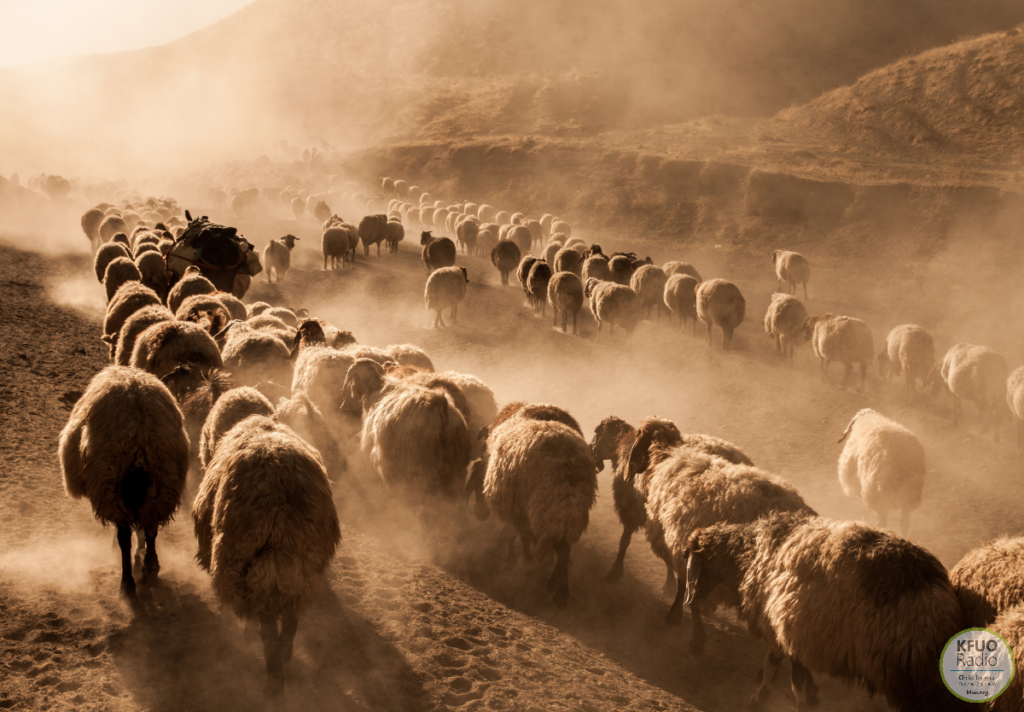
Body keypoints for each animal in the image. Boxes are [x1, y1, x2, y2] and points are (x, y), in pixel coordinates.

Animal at [58, 366, 189, 597]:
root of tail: (140, 439)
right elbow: (143, 531)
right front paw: (142, 555)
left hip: (111, 484)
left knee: (124, 537)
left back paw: (127, 583)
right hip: (160, 486)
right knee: (151, 529)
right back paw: (150, 567)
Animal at [193, 415, 340, 696]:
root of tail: (278, 508)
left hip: (242, 561)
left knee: (268, 626)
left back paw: (273, 681)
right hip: (301, 570)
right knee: (291, 619)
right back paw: (285, 655)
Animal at [479, 410, 597, 606]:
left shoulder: (517, 509)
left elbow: (516, 536)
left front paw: (518, 560)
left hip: (542, 509)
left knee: (551, 549)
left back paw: (537, 580)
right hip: (570, 514)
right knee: (563, 549)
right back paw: (559, 591)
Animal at [683, 514, 963, 710]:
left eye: (695, 565)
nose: (693, 601)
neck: (748, 556)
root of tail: (931, 594)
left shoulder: (787, 628)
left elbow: (783, 672)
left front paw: (766, 699)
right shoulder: (795, 634)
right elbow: (788, 670)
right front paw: (800, 696)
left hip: (902, 673)